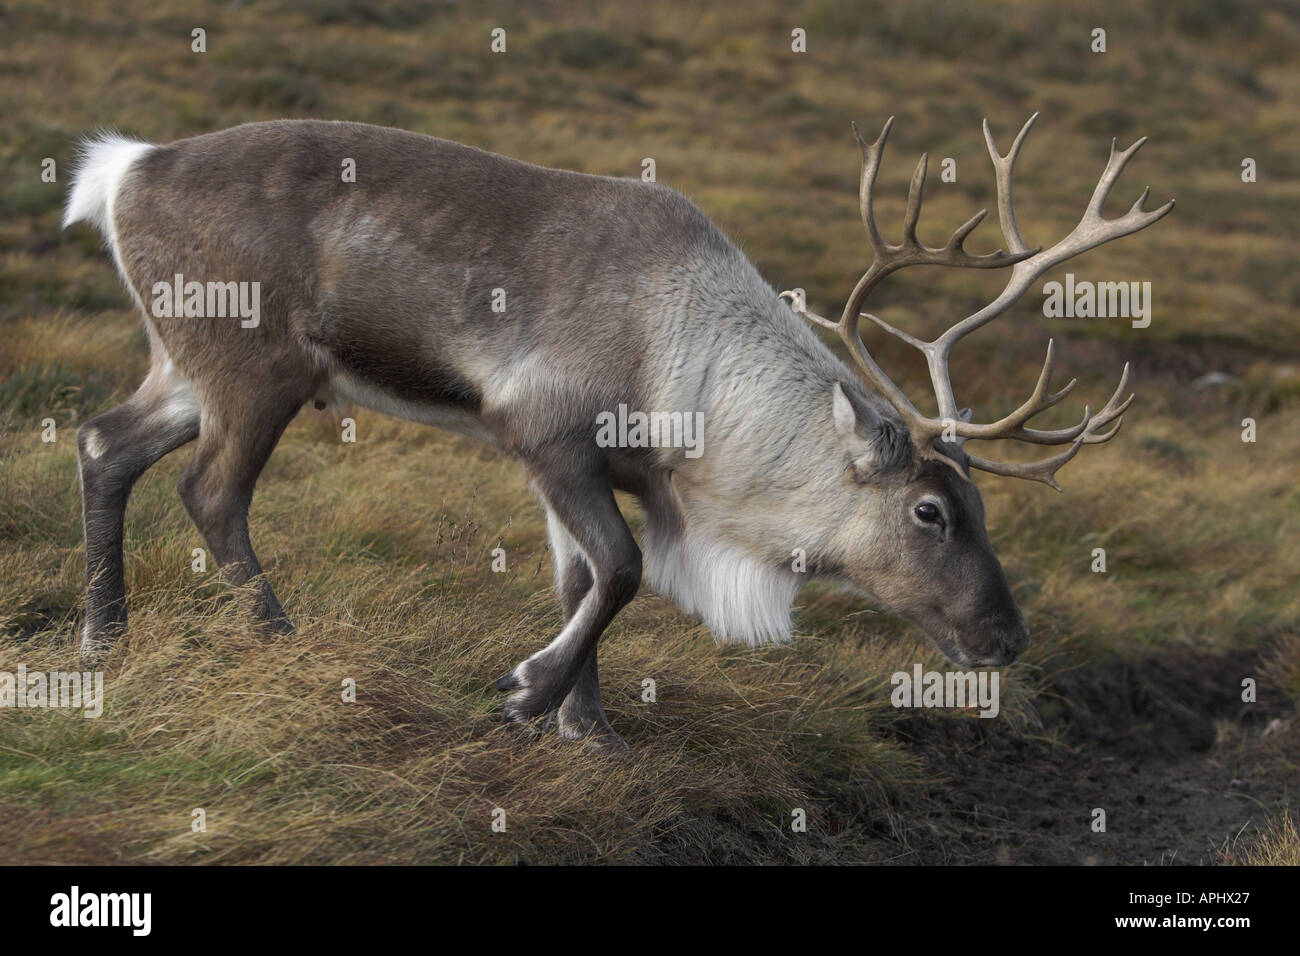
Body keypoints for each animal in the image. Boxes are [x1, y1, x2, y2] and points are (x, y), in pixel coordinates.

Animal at [63, 113, 1171, 752]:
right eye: (932, 510)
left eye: (981, 502)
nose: (1007, 634)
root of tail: (122, 172)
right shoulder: (545, 432)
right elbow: (625, 570)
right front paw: (527, 695)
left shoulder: (580, 467)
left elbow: (580, 580)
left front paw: (586, 729)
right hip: (256, 365)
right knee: (210, 492)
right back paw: (281, 640)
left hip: (188, 365)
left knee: (103, 443)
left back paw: (102, 633)